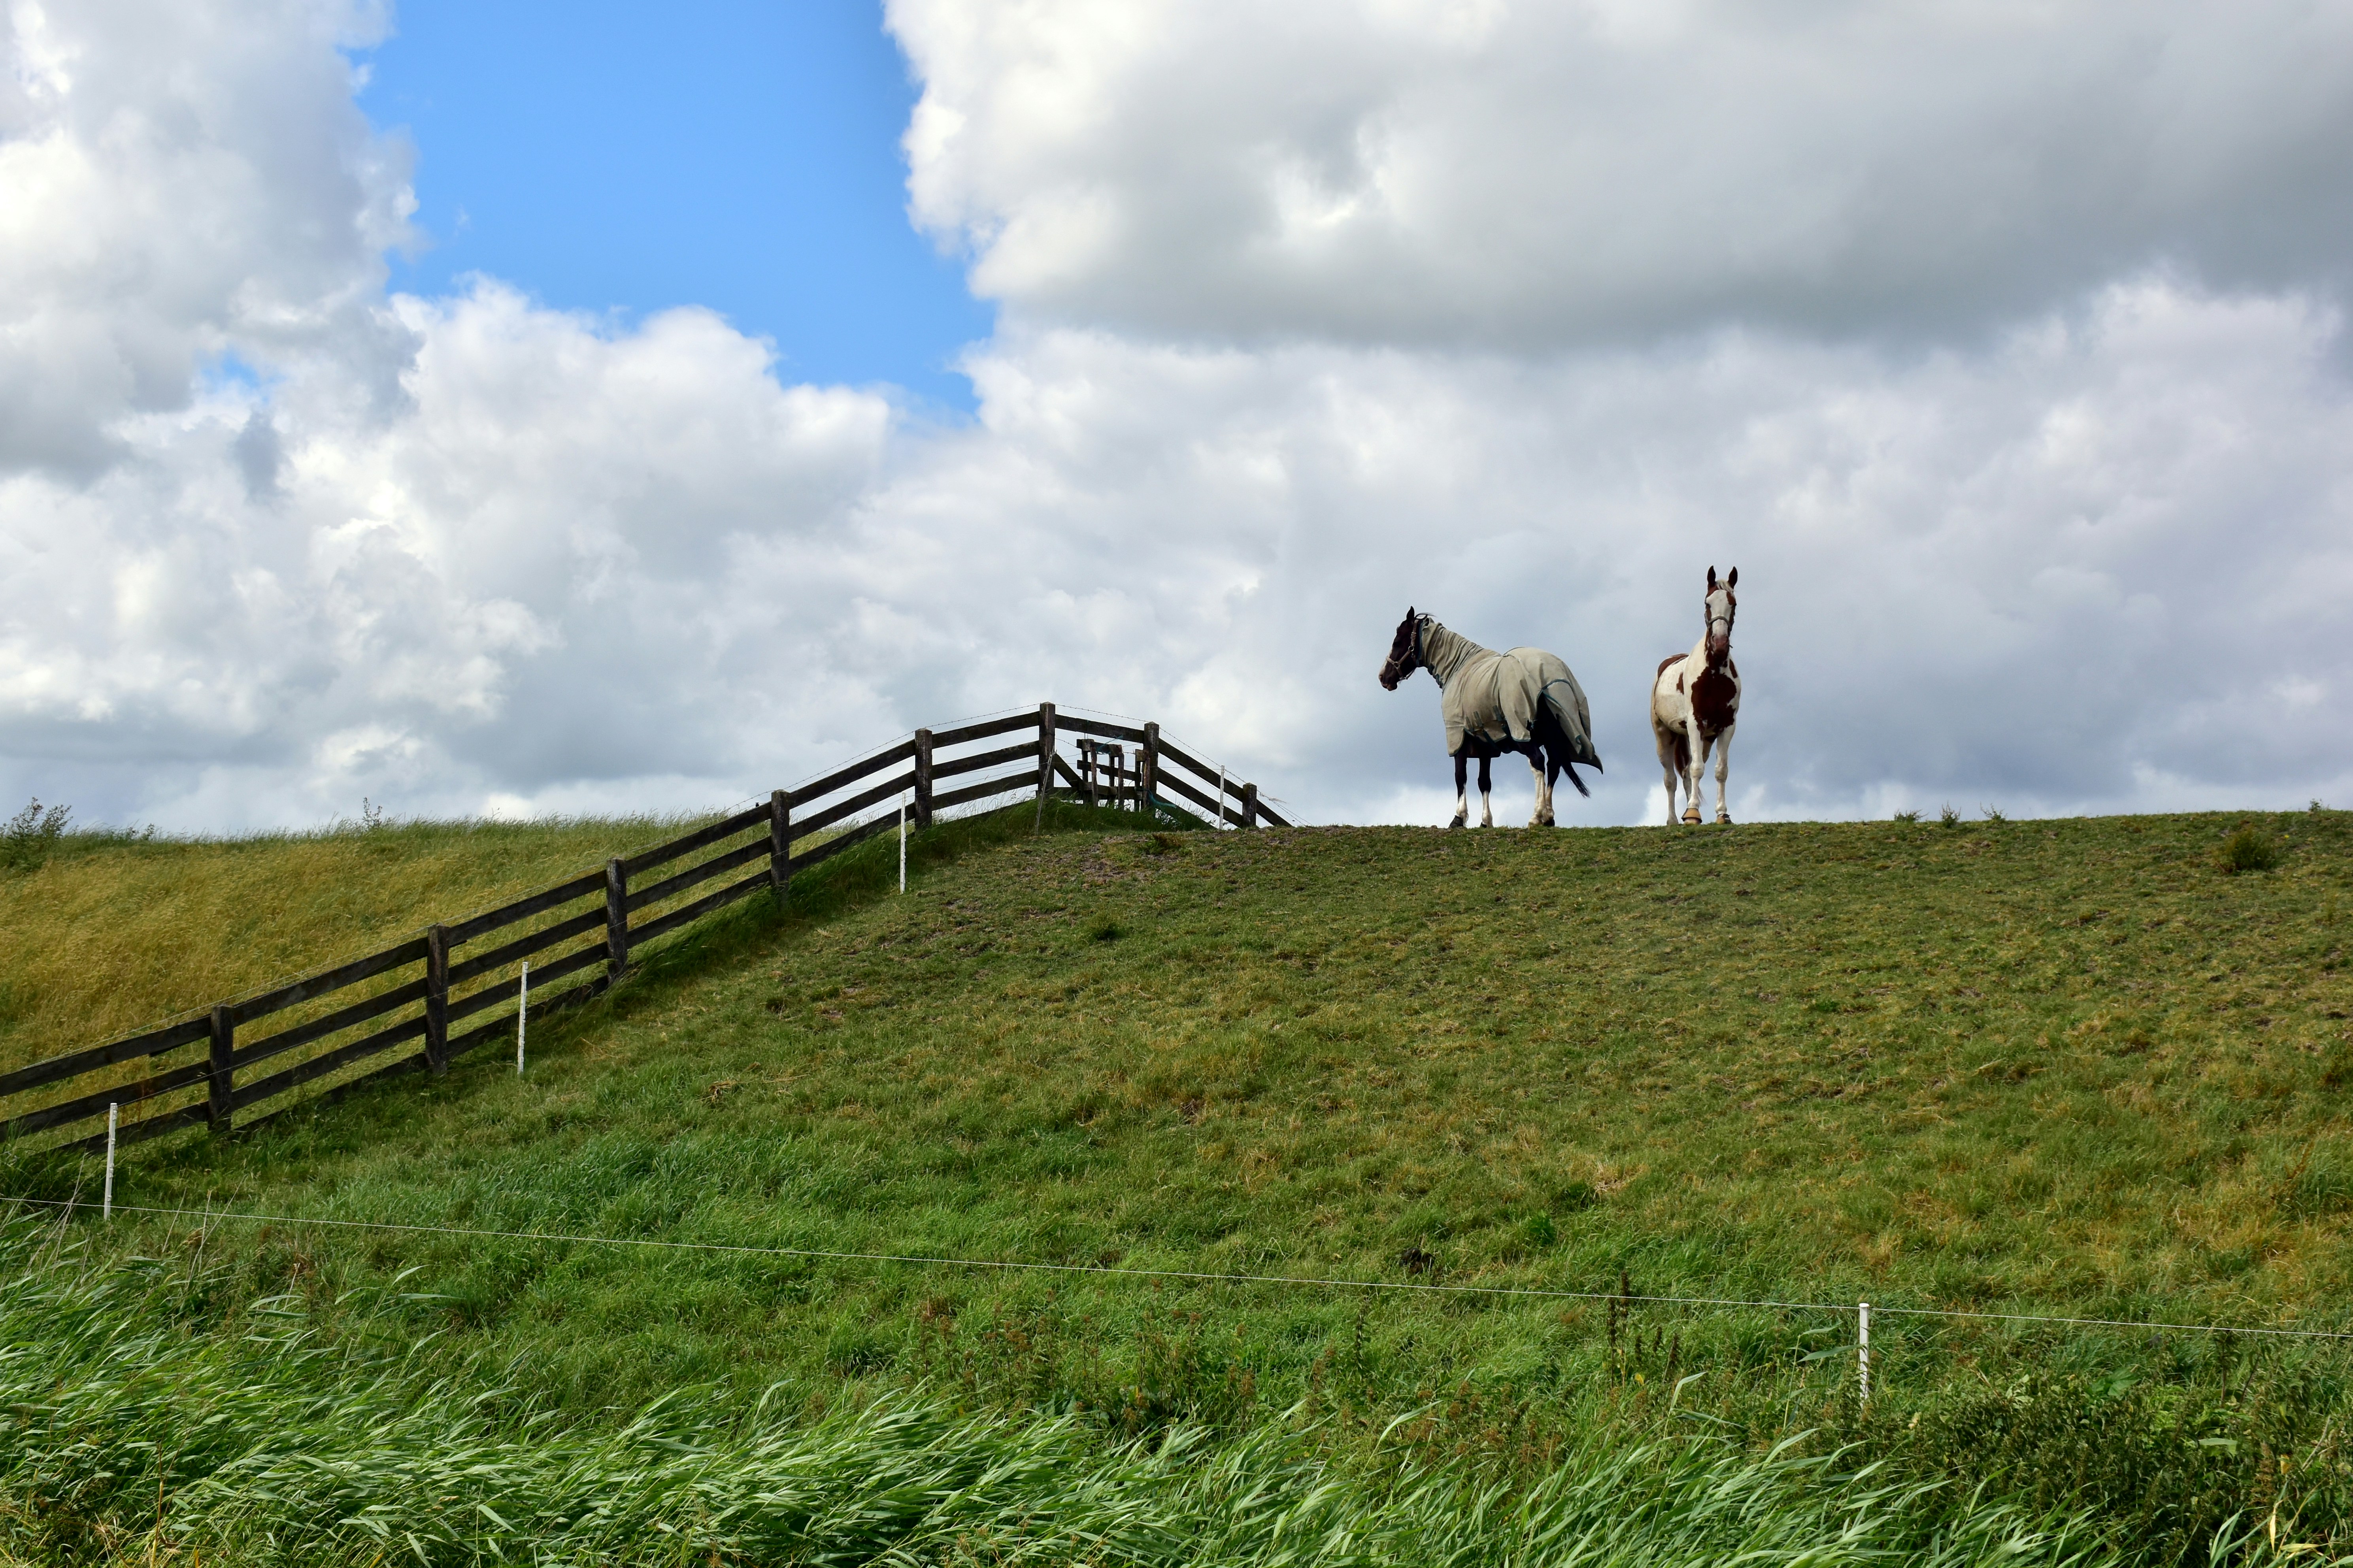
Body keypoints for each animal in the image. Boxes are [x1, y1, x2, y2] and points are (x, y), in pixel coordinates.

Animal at [1379, 608, 1601, 828]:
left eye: (1398, 641)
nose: (1383, 677)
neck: (1458, 669)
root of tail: (1547, 674)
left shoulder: (1458, 735)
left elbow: (1461, 776)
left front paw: (1459, 818)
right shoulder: (1485, 742)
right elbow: (1484, 781)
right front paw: (1486, 821)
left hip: (1523, 731)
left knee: (1538, 763)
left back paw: (1537, 816)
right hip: (1553, 735)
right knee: (1554, 766)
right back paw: (1549, 817)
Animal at [1650, 566, 1741, 825]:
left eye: (1733, 603)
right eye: (1707, 602)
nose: (1720, 643)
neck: (1714, 675)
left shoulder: (1726, 726)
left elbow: (1720, 771)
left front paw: (1722, 814)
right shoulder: (1695, 723)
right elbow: (1696, 769)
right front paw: (1692, 813)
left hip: (1704, 739)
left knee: (1686, 772)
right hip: (1665, 735)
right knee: (1671, 778)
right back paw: (1674, 819)